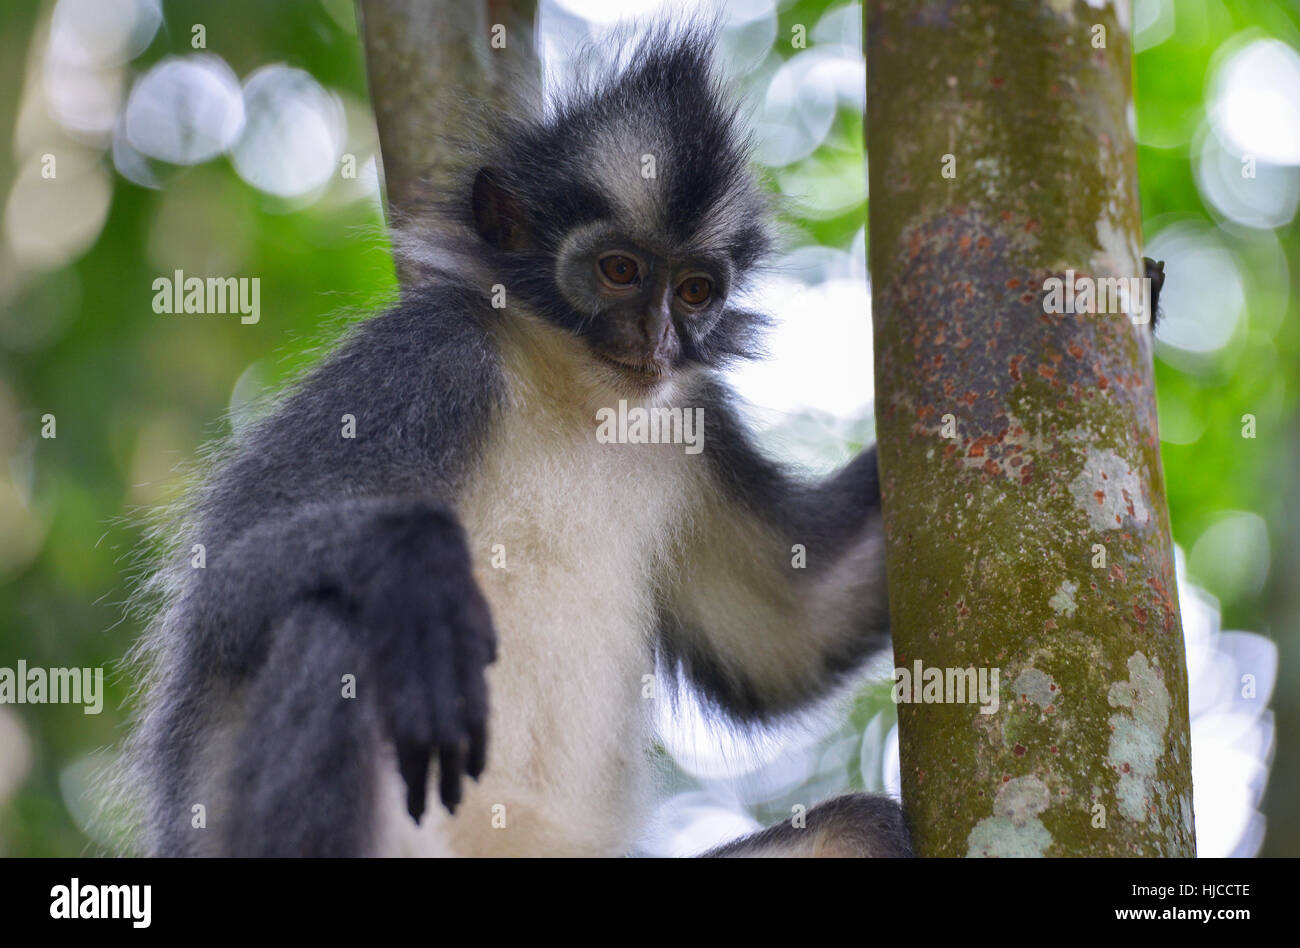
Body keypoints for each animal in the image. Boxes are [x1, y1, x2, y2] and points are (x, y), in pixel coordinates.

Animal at [125, 25, 912, 858]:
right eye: (619, 270)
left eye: (694, 290)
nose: (657, 339)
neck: (574, 395)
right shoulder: (431, 357)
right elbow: (216, 589)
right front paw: (412, 557)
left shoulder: (692, 425)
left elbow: (792, 629)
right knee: (340, 628)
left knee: (865, 826)